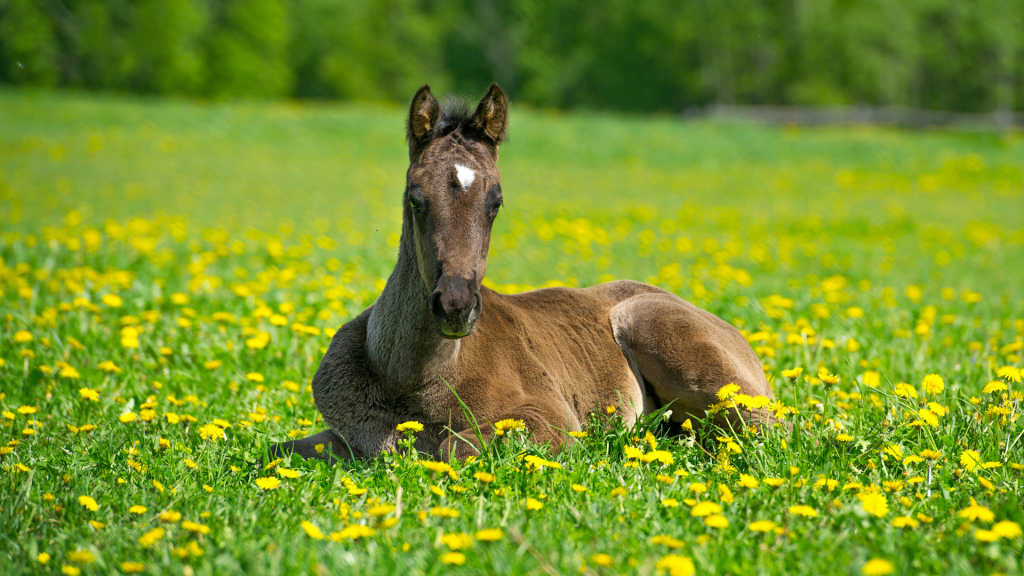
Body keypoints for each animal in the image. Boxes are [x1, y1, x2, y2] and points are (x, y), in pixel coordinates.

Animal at [270, 83, 776, 463]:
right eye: (415, 198)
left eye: (496, 202)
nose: (455, 306)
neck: (408, 382)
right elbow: (278, 450)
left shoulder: (550, 416)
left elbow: (454, 447)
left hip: (677, 347)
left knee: (764, 429)